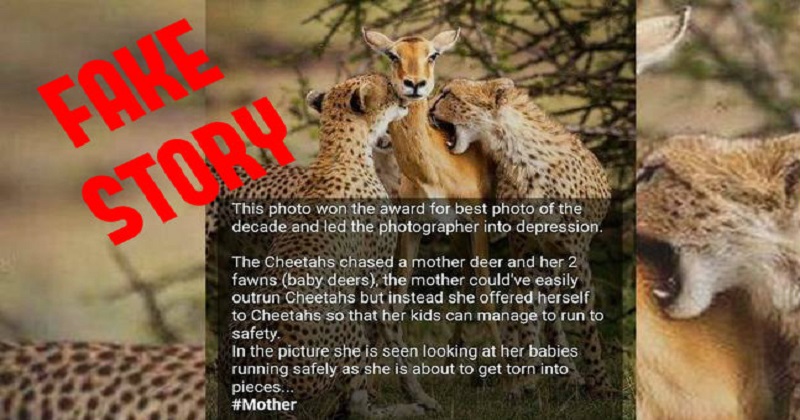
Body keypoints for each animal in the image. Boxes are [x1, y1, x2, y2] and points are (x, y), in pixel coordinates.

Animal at [429, 77, 614, 397]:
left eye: (448, 94)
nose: (427, 108)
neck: (516, 156)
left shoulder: (575, 256)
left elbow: (587, 323)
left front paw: (600, 384)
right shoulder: (526, 251)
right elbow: (526, 314)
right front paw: (526, 376)